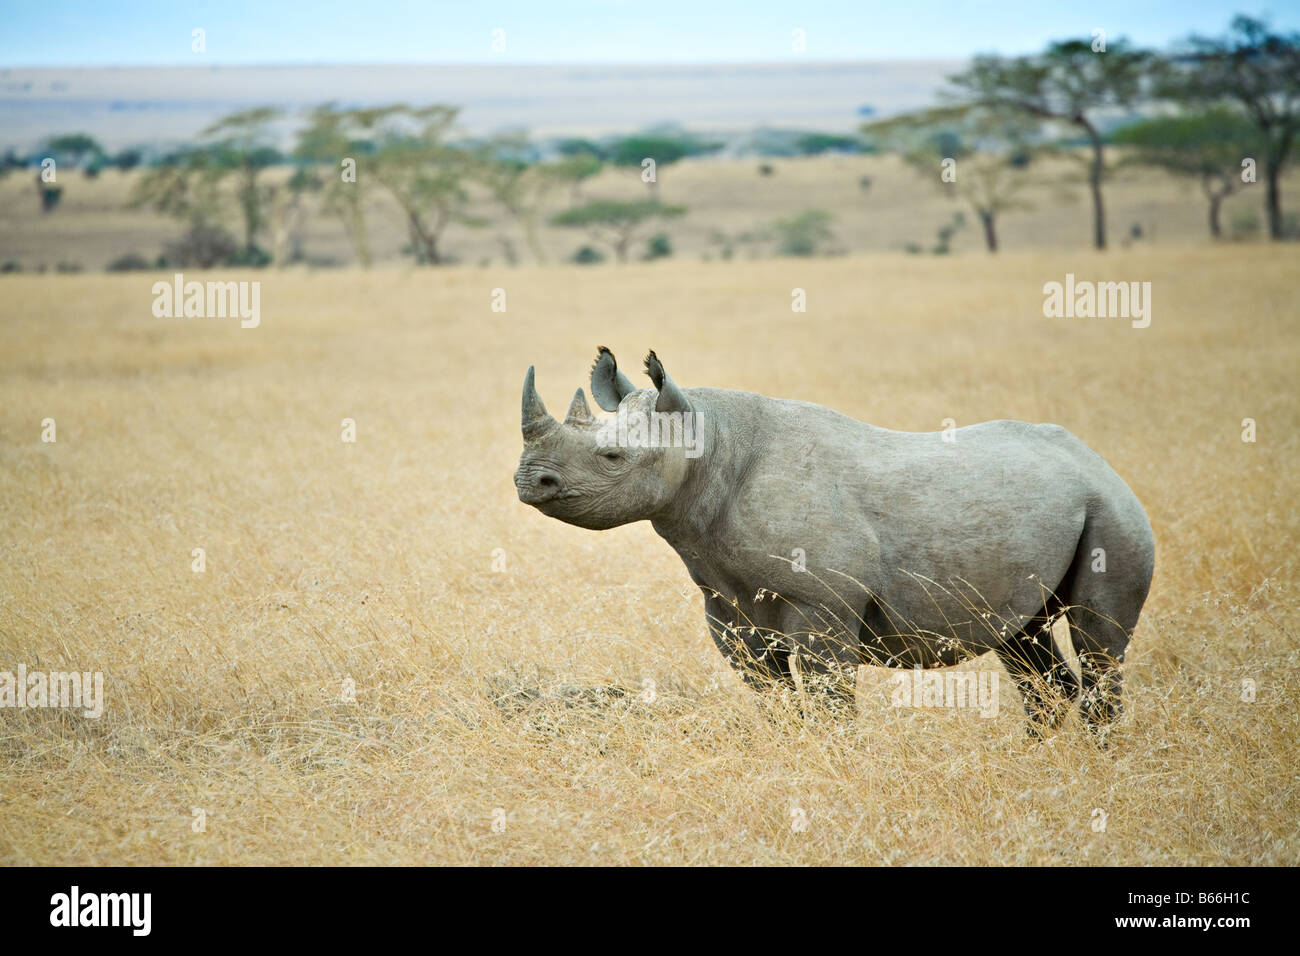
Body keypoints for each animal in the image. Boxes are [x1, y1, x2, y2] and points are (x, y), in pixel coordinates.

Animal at [514, 348, 1155, 738]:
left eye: (611, 457)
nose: (528, 480)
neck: (708, 443)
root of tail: (1097, 460)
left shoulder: (823, 608)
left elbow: (828, 703)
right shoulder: (729, 610)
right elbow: (774, 700)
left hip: (1111, 509)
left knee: (1098, 646)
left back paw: (1095, 763)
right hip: (1061, 509)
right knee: (1025, 643)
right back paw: (1039, 759)